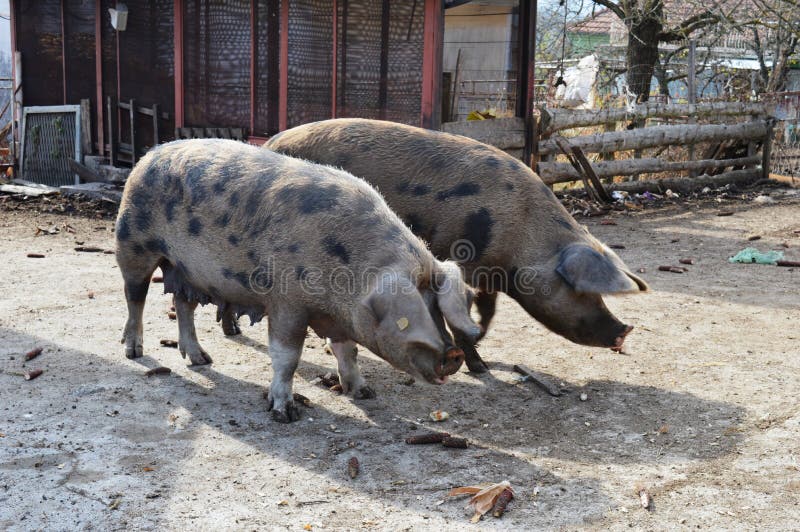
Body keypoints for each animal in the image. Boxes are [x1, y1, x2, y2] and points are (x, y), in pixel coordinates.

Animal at [115, 139, 479, 422]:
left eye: (438, 309)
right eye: (410, 316)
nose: (454, 354)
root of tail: (148, 156)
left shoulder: (339, 318)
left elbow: (348, 352)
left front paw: (365, 393)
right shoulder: (285, 301)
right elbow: (287, 357)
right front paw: (285, 414)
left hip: (187, 270)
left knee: (183, 305)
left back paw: (202, 360)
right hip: (132, 242)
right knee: (135, 297)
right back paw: (133, 352)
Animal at [241, 118, 649, 372]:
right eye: (582, 291)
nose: (626, 329)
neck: (522, 234)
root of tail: (272, 141)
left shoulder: (489, 274)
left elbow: (487, 312)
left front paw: (482, 350)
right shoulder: (469, 262)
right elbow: (467, 314)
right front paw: (478, 364)